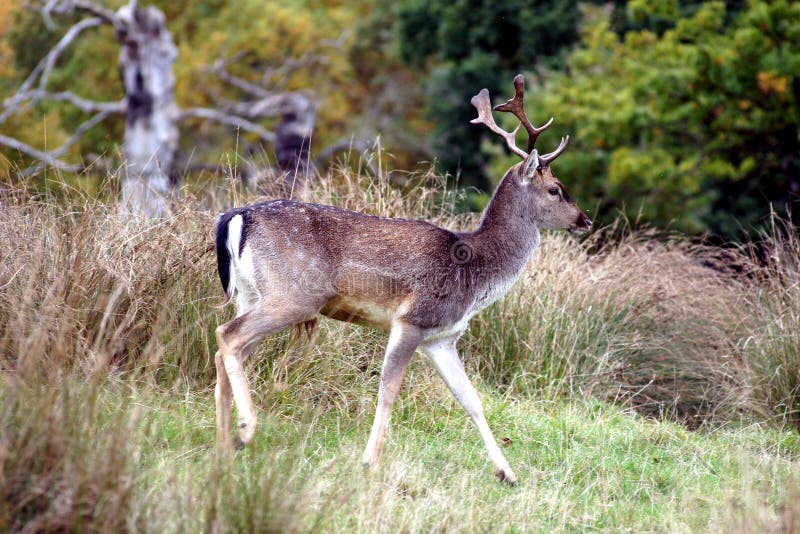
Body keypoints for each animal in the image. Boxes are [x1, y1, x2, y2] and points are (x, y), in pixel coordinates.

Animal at [213, 74, 592, 485]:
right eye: (555, 189)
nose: (585, 220)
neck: (474, 274)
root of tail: (236, 217)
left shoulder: (442, 337)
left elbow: (471, 400)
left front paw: (507, 472)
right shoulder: (413, 319)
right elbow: (388, 391)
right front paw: (369, 461)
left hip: (250, 293)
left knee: (226, 347)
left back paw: (225, 444)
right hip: (294, 295)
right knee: (227, 335)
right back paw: (247, 428)